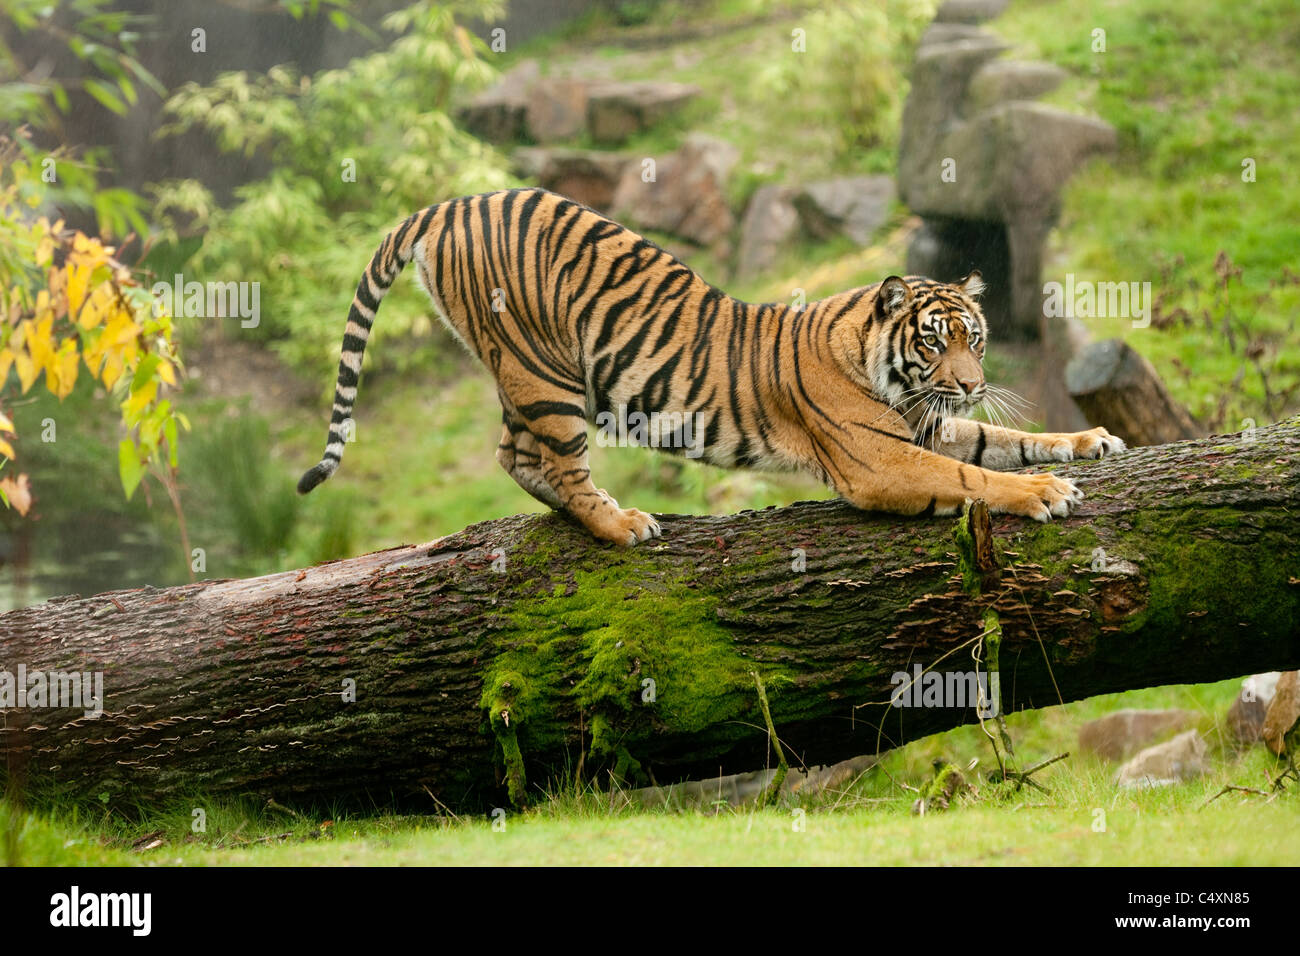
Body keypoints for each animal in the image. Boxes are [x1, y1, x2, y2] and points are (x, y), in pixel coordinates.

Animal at [298, 187, 1125, 545]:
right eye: (932, 342)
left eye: (974, 339)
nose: (973, 385)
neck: (882, 367)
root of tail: (451, 202)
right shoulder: (879, 460)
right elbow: (973, 475)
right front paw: (1044, 493)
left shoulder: (923, 426)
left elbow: (1004, 443)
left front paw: (1090, 441)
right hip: (545, 370)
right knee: (553, 460)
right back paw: (622, 524)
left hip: (521, 371)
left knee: (514, 453)